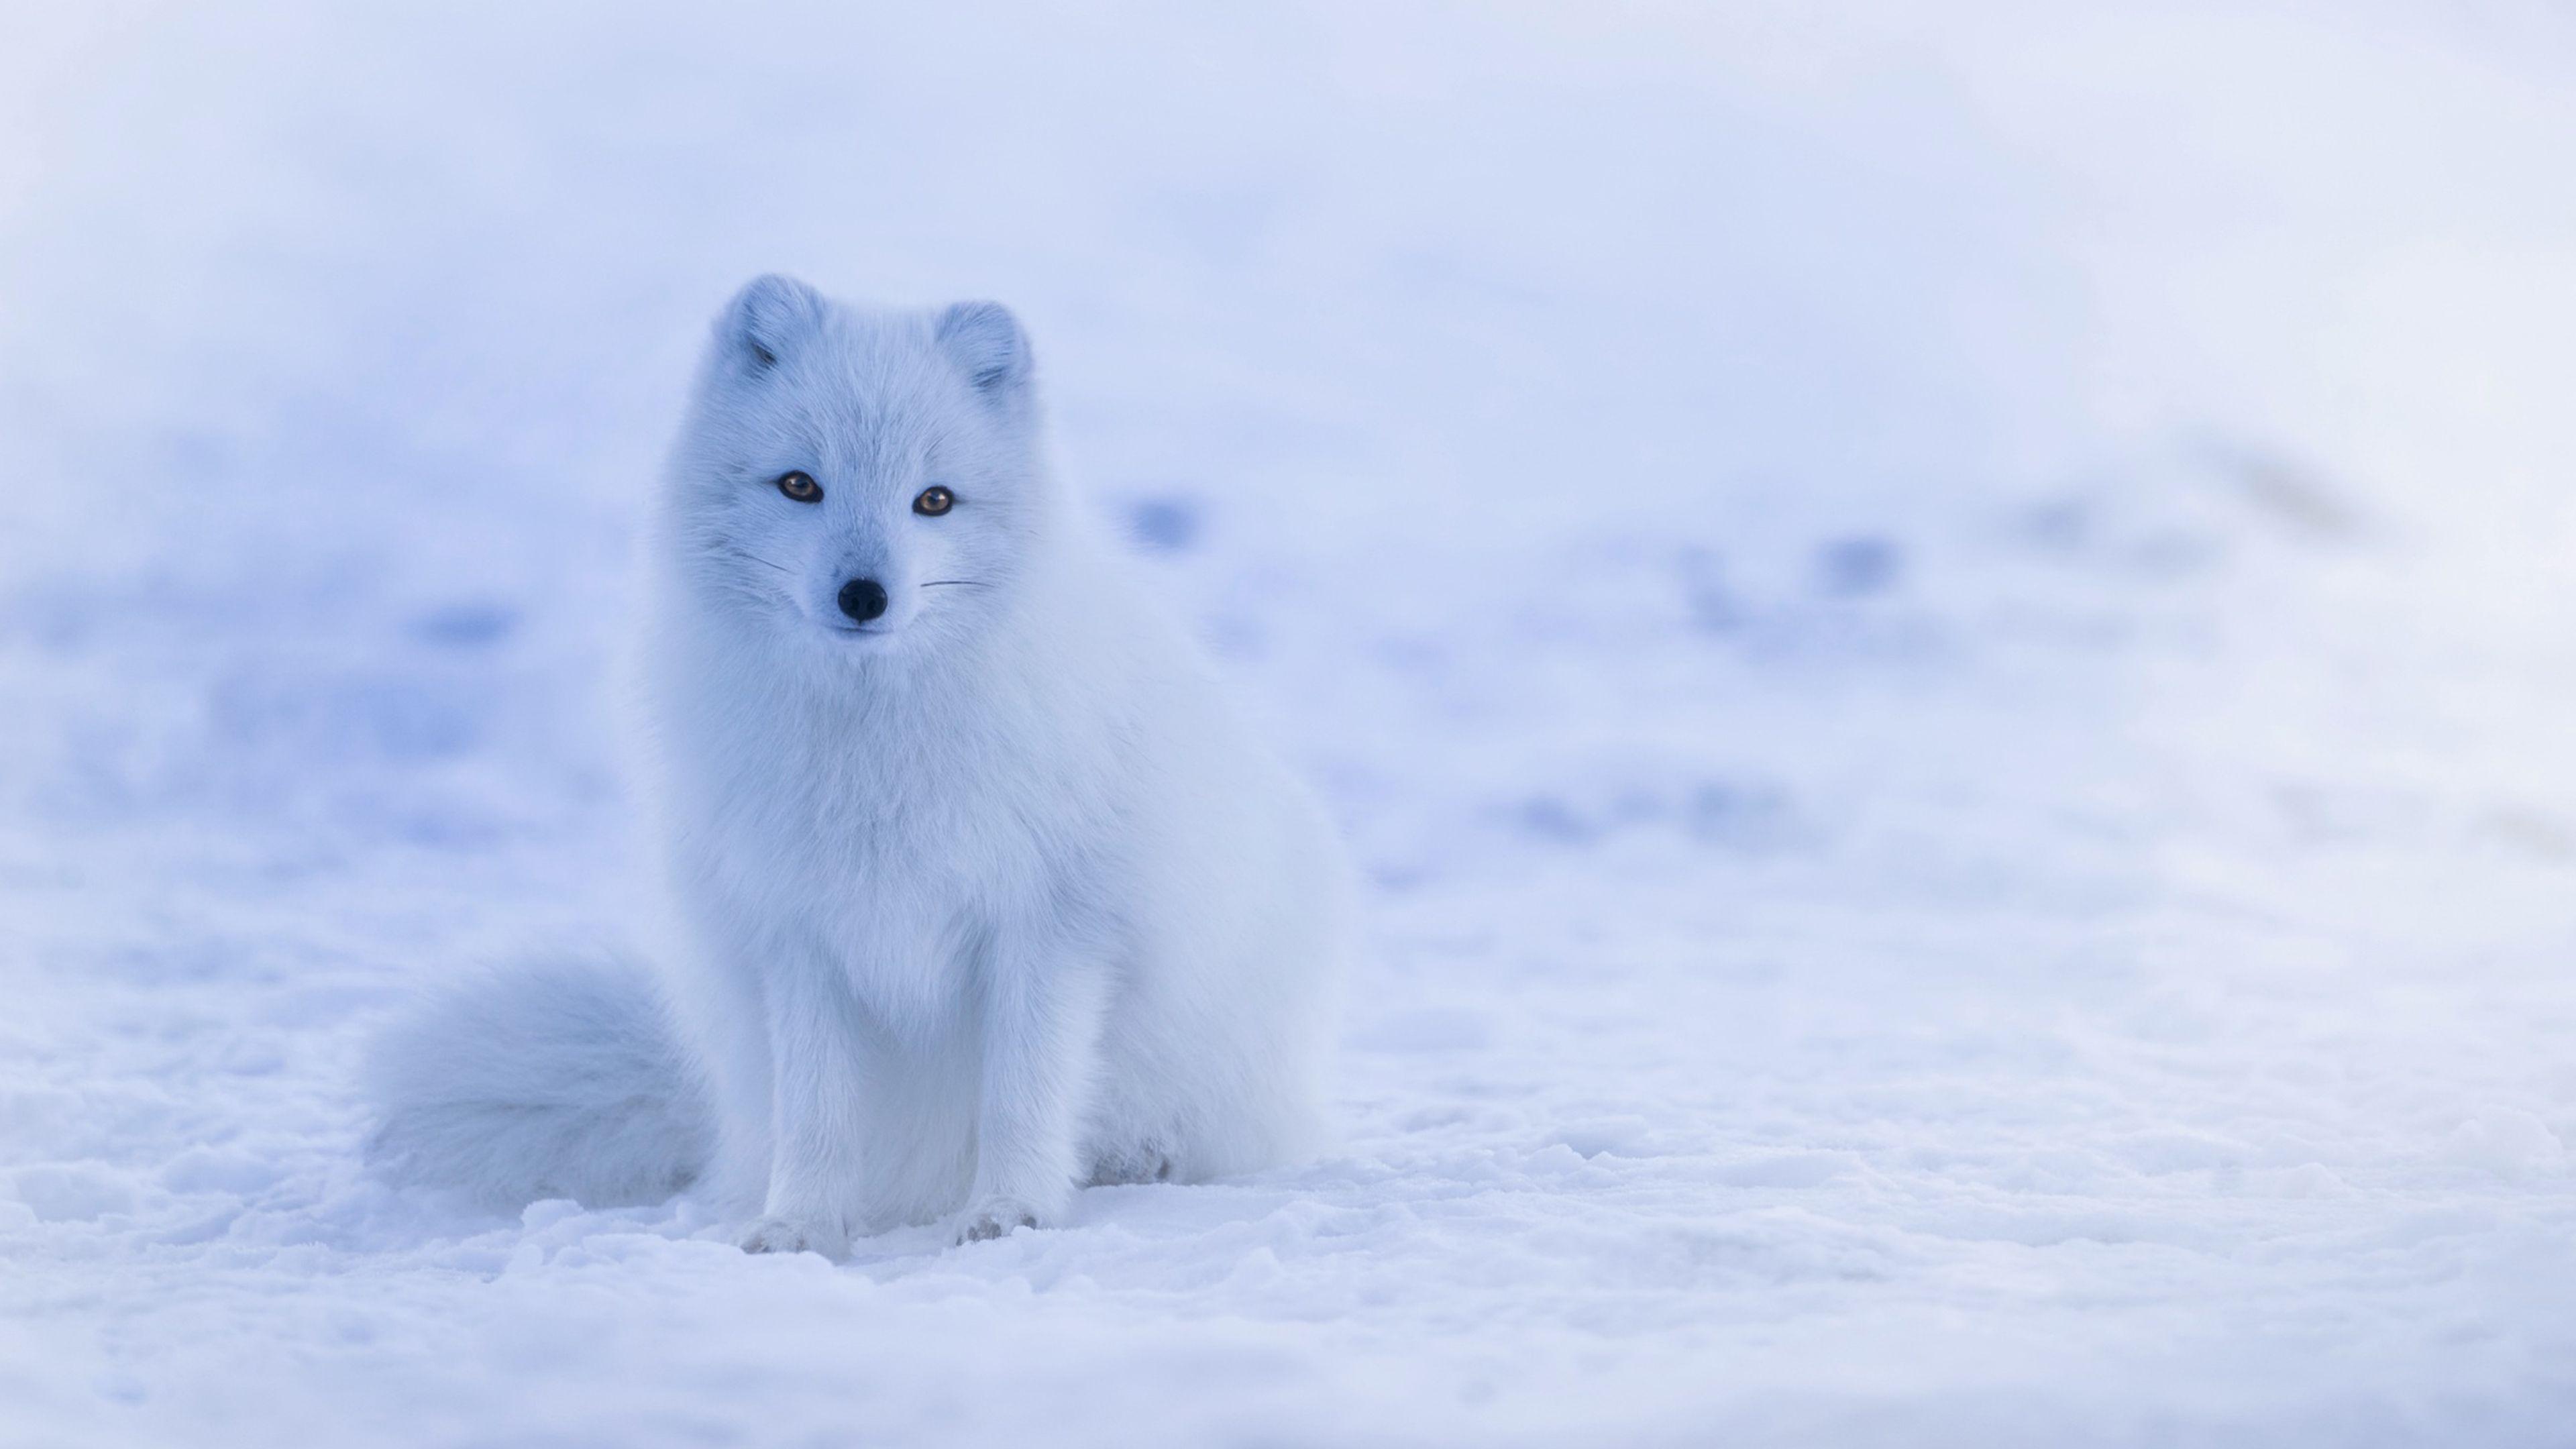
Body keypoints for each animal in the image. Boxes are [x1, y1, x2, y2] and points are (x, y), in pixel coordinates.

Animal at [366, 276, 1350, 1254]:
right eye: (801, 485)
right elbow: (817, 1114)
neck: (874, 748)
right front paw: (799, 1225)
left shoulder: (1051, 926)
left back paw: (1138, 1160)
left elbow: (1023, 1094)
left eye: (935, 501)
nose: (865, 596)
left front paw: (1010, 1212)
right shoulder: (799, 934)